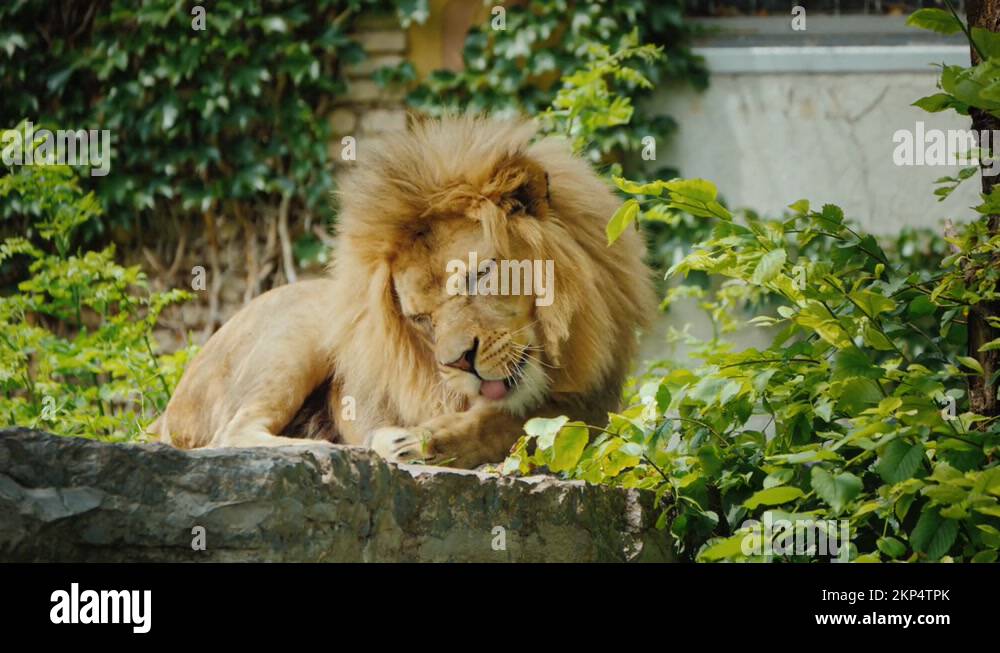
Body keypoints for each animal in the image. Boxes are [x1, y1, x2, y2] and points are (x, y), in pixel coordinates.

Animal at [150, 115, 656, 468]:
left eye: (479, 276)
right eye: (420, 319)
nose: (459, 363)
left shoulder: (594, 404)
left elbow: (522, 424)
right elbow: (511, 422)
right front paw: (410, 441)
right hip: (303, 328)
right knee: (232, 434)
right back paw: (338, 447)